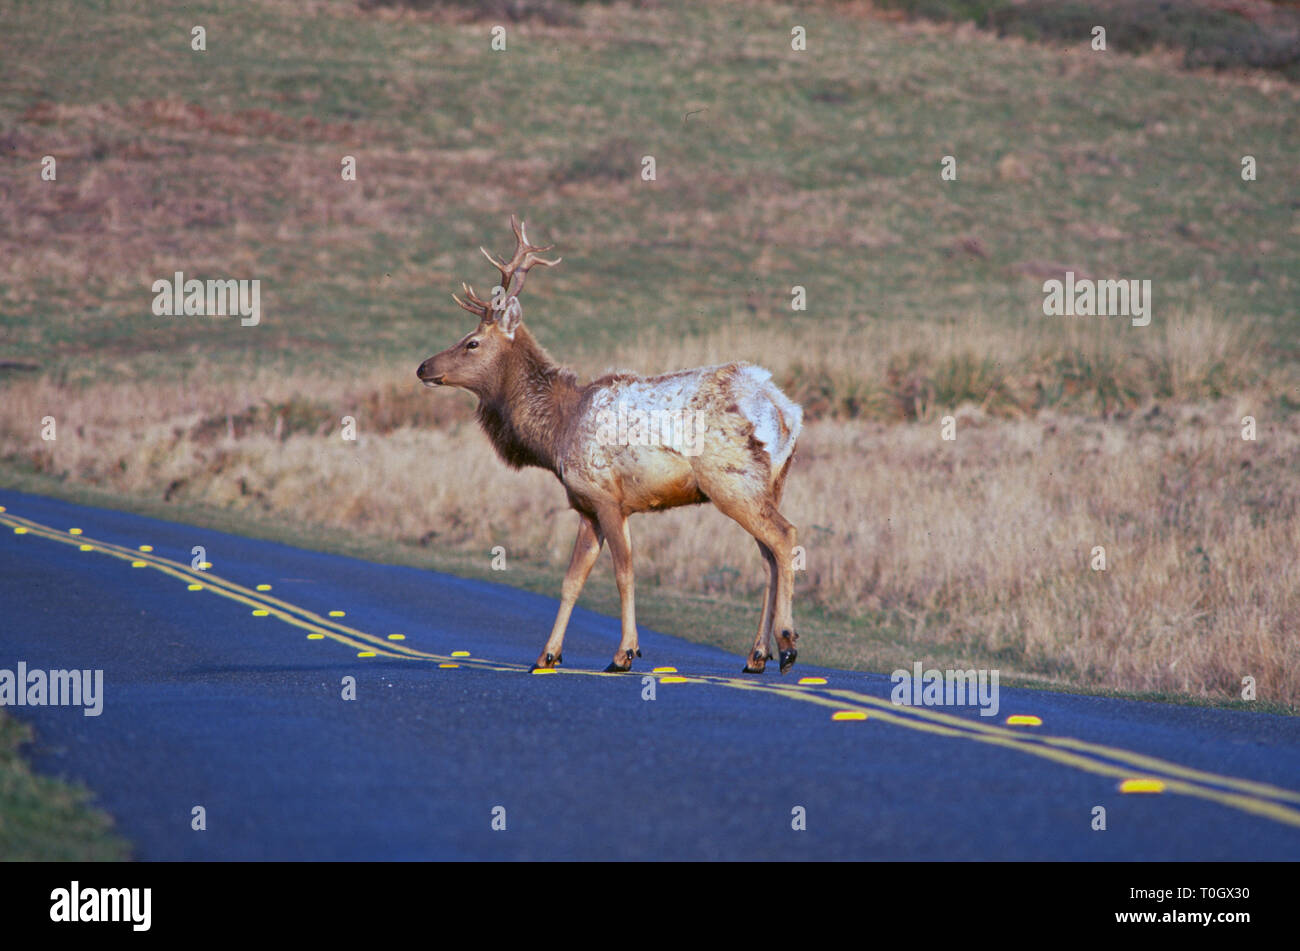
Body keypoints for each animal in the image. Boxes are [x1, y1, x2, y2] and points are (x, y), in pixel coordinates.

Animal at [417, 216, 803, 675]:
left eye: (471, 342)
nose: (423, 367)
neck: (555, 433)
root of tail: (785, 410)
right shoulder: (585, 505)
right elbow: (571, 579)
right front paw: (547, 655)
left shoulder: (606, 497)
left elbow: (624, 572)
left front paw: (624, 653)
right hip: (769, 483)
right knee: (767, 556)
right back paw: (757, 655)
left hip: (732, 479)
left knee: (784, 536)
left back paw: (787, 643)